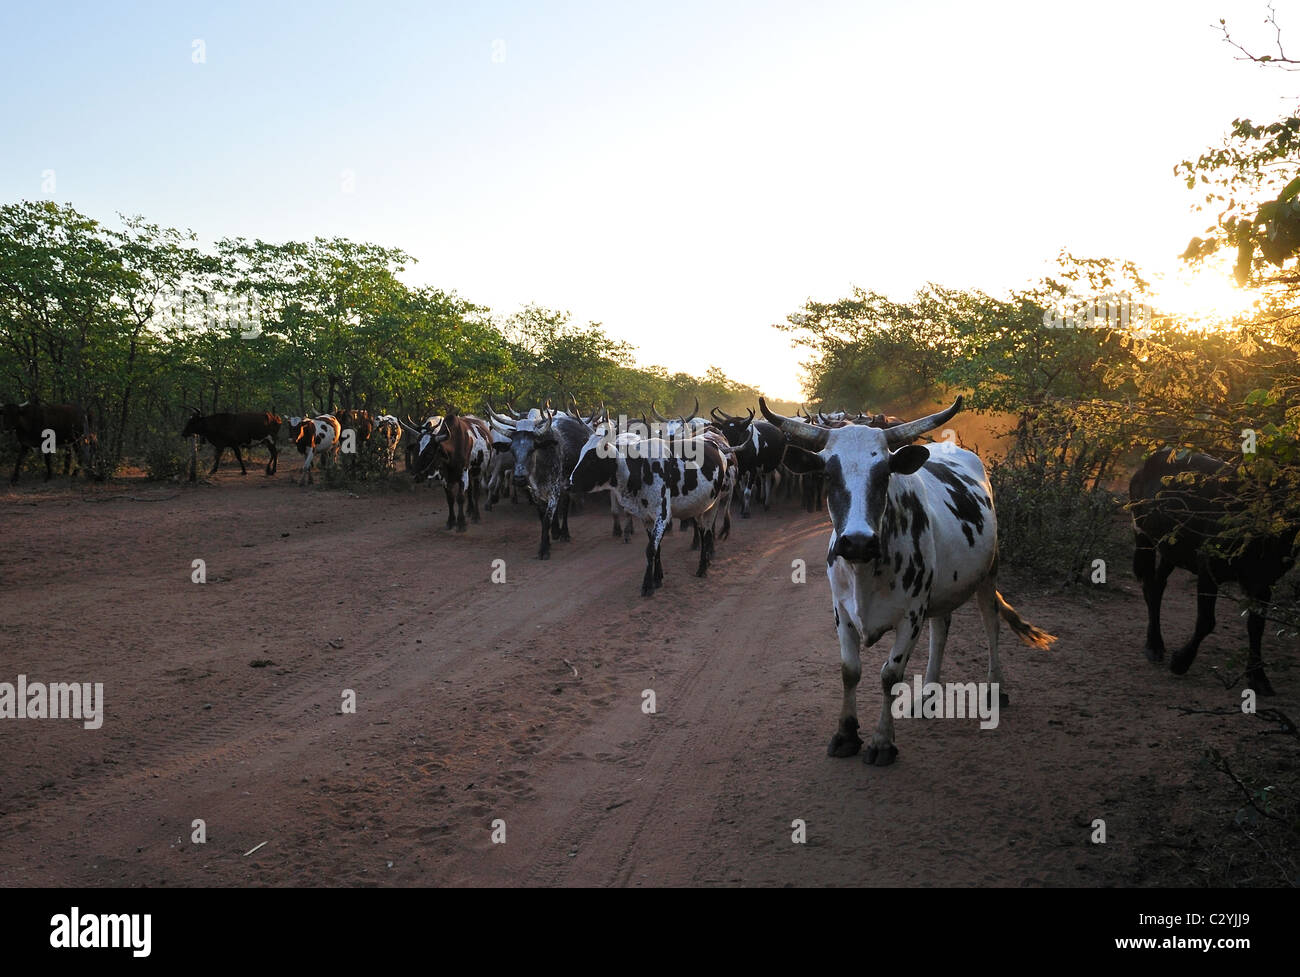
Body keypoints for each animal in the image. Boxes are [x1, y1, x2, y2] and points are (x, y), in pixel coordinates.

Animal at [489, 407, 589, 559]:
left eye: (532, 450)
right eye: (512, 450)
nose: (519, 478)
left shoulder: (554, 490)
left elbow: (547, 518)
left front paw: (544, 550)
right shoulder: (535, 493)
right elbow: (543, 518)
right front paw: (547, 542)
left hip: (567, 483)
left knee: (565, 505)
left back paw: (564, 533)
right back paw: (556, 532)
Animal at [569, 426, 735, 596]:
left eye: (592, 458)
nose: (570, 483)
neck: (640, 468)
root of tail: (716, 446)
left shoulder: (662, 515)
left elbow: (650, 549)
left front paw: (647, 585)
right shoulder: (646, 518)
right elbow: (656, 548)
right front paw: (658, 578)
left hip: (714, 504)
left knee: (708, 533)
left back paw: (702, 568)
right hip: (698, 507)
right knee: (702, 533)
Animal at [759, 396, 1056, 765]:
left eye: (885, 473)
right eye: (828, 474)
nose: (857, 541)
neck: (865, 571)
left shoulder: (912, 615)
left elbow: (890, 675)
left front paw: (882, 742)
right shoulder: (841, 611)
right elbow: (849, 670)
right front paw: (845, 734)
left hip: (989, 572)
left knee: (991, 624)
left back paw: (995, 688)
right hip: (945, 588)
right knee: (941, 629)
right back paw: (928, 695)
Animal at [1130, 446, 1298, 695]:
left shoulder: (1264, 582)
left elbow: (1256, 626)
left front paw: (1259, 678)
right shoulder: (1208, 570)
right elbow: (1206, 621)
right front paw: (1180, 662)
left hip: (1171, 550)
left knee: (1158, 586)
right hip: (1143, 538)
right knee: (1149, 585)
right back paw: (1154, 645)